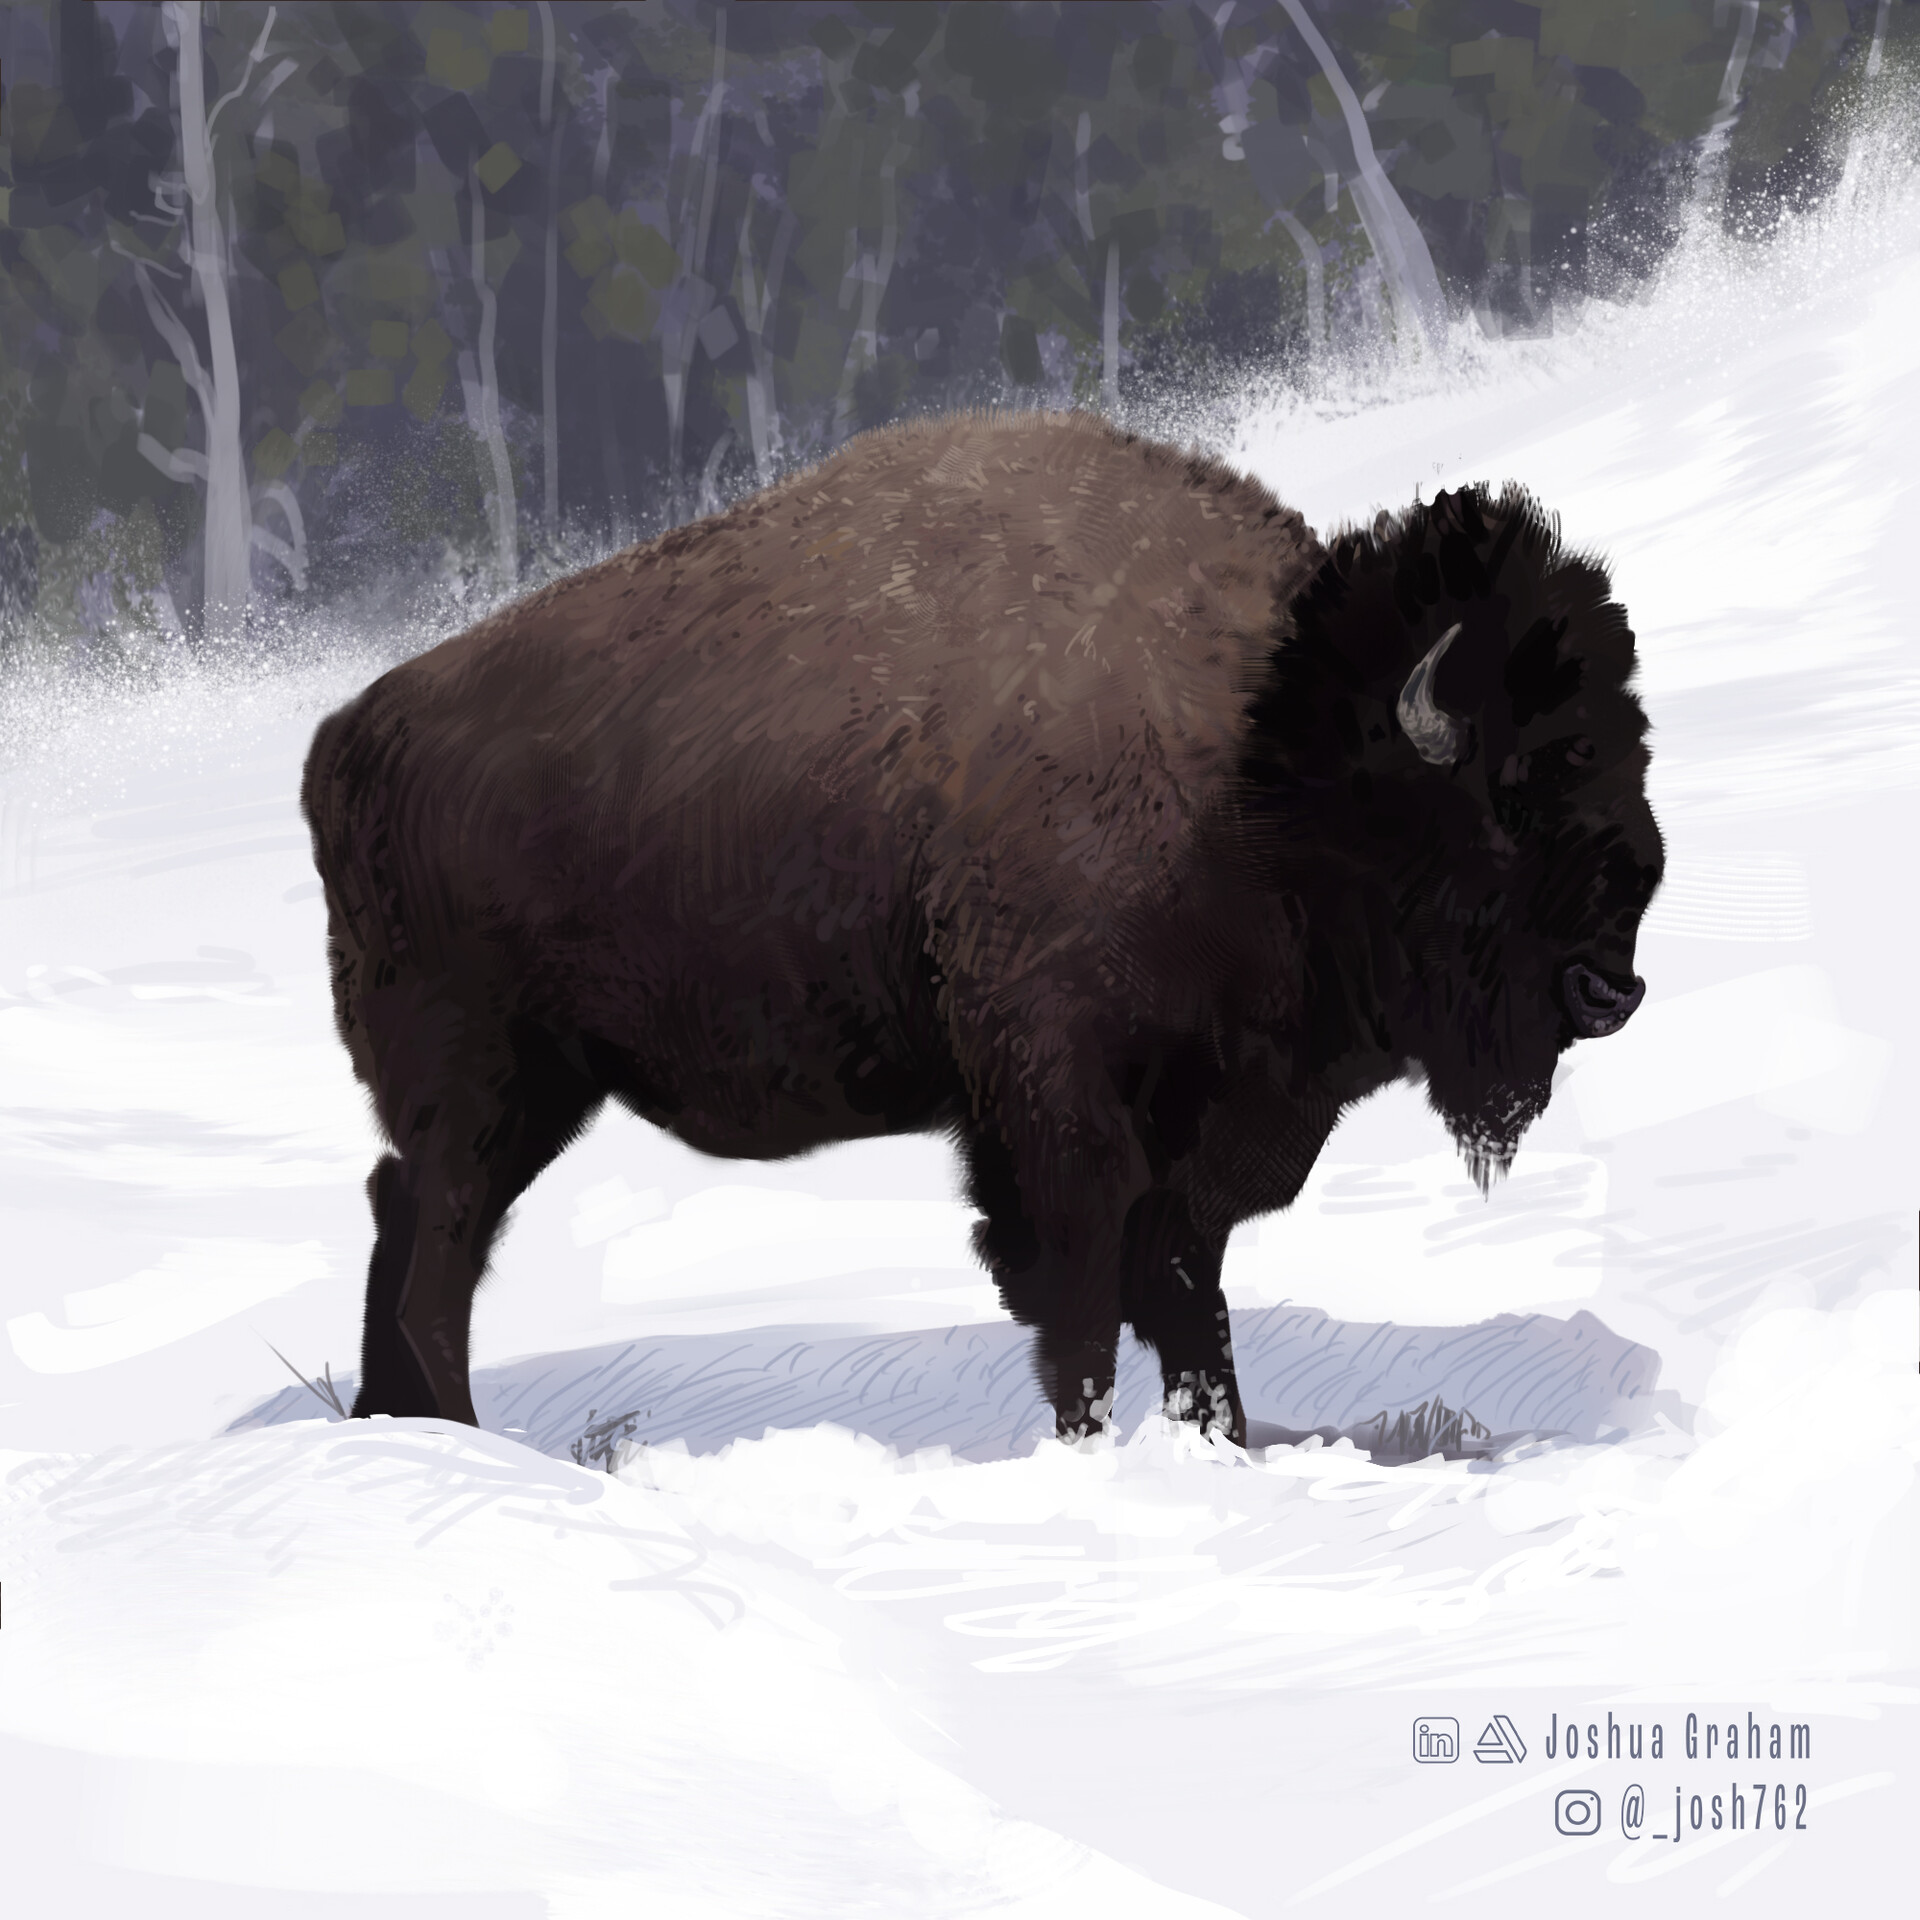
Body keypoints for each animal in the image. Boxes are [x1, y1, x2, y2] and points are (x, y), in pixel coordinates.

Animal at [303, 410, 1662, 1447]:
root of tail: (345, 742)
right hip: (487, 1082)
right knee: (436, 1255)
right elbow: (1083, 1311)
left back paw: (396, 1431)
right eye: (1510, 791)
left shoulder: (1202, 1130)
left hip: (529, 1091)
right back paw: (468, 1447)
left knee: (397, 1217)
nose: (1613, 990)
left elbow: (1192, 1307)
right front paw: (1091, 1456)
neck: (1254, 755)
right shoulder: (1058, 1111)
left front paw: (1216, 1447)